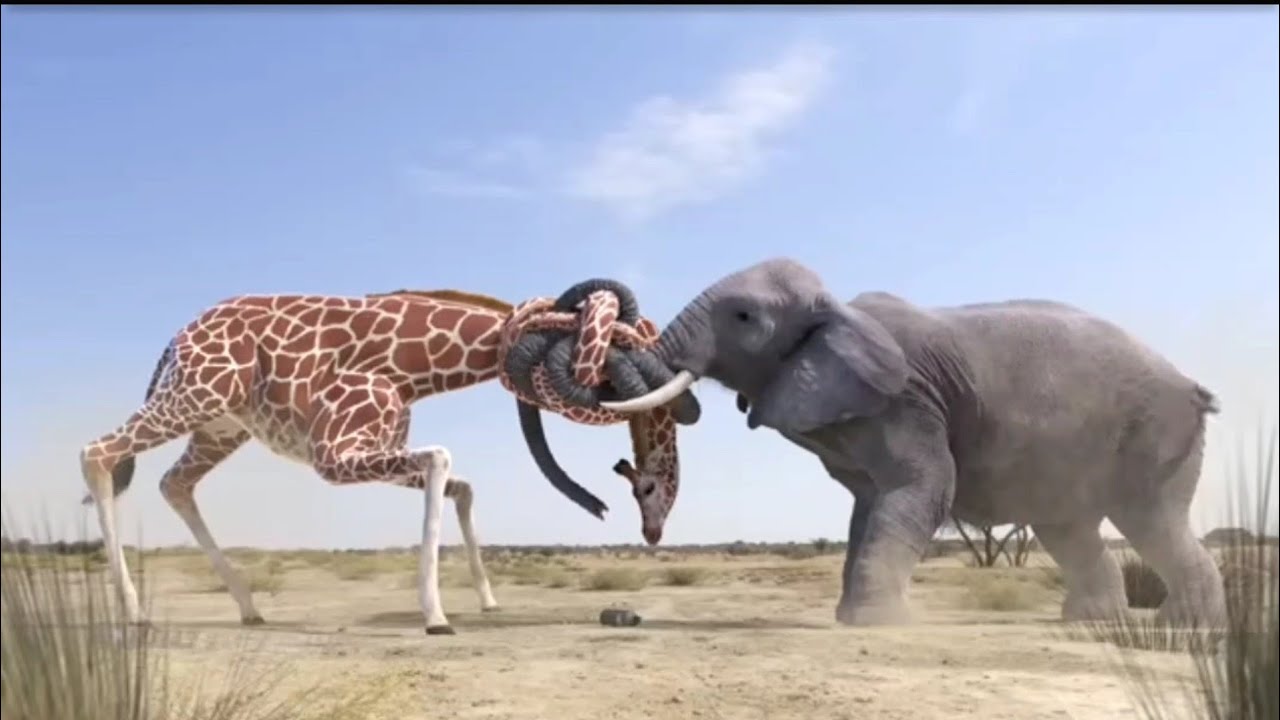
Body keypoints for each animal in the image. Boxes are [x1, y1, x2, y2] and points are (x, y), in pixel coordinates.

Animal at [79, 287, 683, 635]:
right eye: (613, 360)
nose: (653, 526)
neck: (413, 366)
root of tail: (178, 338)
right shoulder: (333, 455)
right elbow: (443, 459)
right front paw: (436, 616)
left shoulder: (364, 447)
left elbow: (459, 484)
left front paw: (486, 601)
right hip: (195, 398)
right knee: (98, 453)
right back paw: (133, 612)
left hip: (219, 427)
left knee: (173, 484)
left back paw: (249, 608)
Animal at [601, 257, 1228, 628]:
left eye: (744, 317)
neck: (839, 312)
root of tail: (1191, 386)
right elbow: (870, 504)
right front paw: (852, 618)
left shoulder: (907, 399)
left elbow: (923, 486)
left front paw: (873, 624)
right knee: (1068, 529)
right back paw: (1091, 621)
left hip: (1154, 433)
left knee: (1149, 519)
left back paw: (1184, 628)